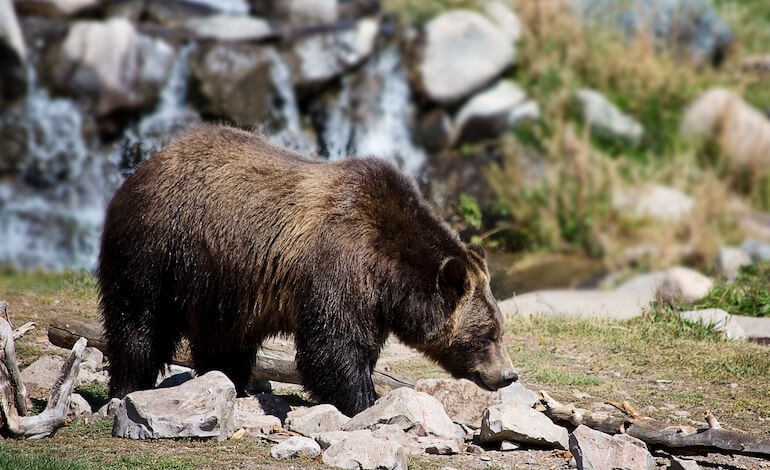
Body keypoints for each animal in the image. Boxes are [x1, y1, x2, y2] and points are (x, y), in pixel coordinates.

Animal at [98, 124, 517, 416]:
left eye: (499, 328)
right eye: (488, 333)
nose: (508, 375)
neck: (388, 272)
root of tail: (145, 166)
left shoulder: (371, 299)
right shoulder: (339, 264)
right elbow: (333, 345)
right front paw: (364, 401)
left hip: (221, 282)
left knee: (224, 339)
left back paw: (231, 383)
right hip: (159, 248)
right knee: (139, 321)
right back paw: (128, 386)